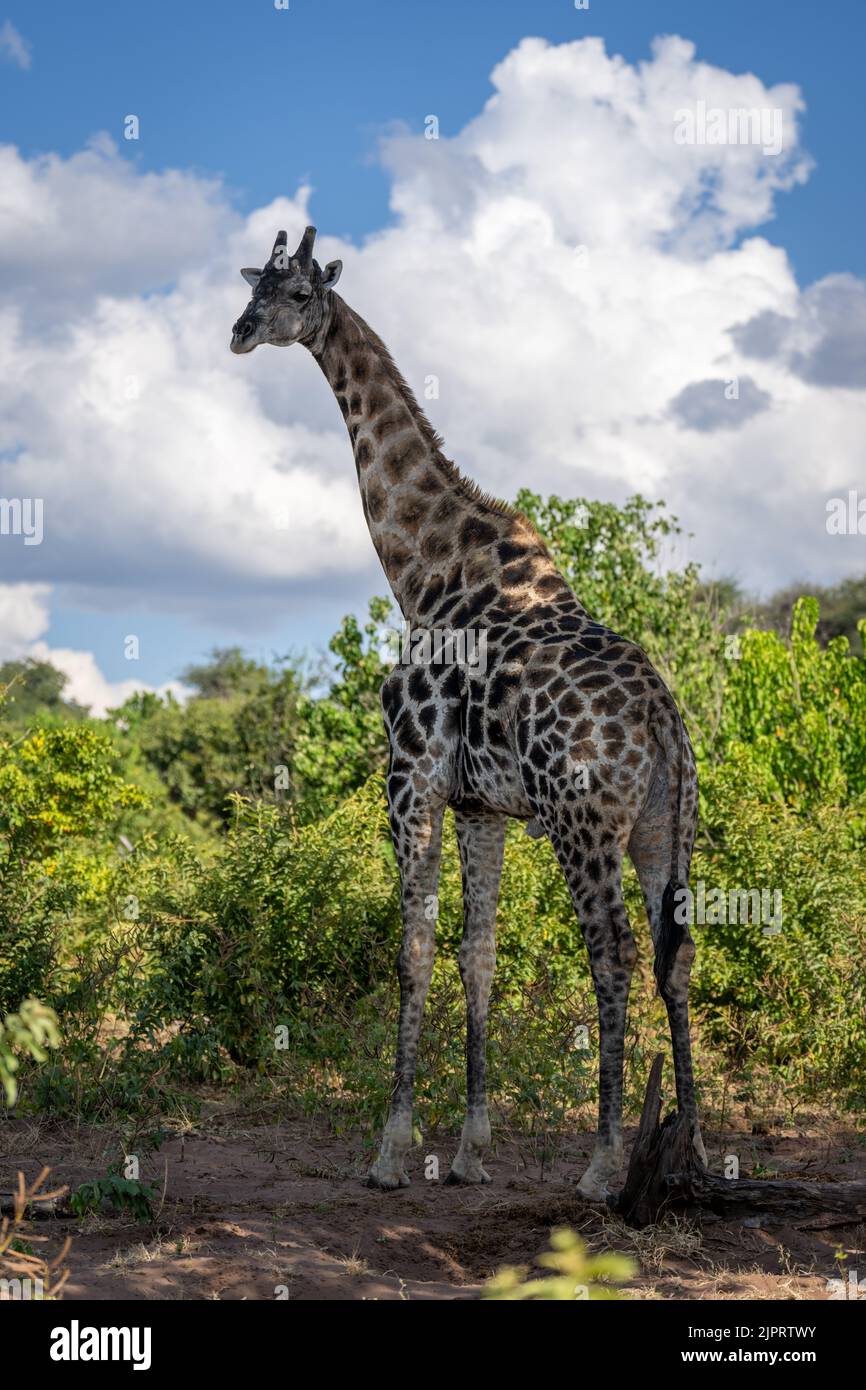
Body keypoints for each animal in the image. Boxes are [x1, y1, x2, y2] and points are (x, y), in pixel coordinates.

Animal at [231, 227, 707, 1200]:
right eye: (253, 283)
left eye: (295, 291)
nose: (239, 331)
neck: (420, 574)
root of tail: (665, 723)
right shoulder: (482, 805)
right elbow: (476, 955)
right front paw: (471, 1149)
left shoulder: (408, 775)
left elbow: (412, 951)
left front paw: (390, 1151)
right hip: (662, 826)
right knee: (675, 957)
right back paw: (692, 1153)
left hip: (582, 820)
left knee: (614, 952)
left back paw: (603, 1166)